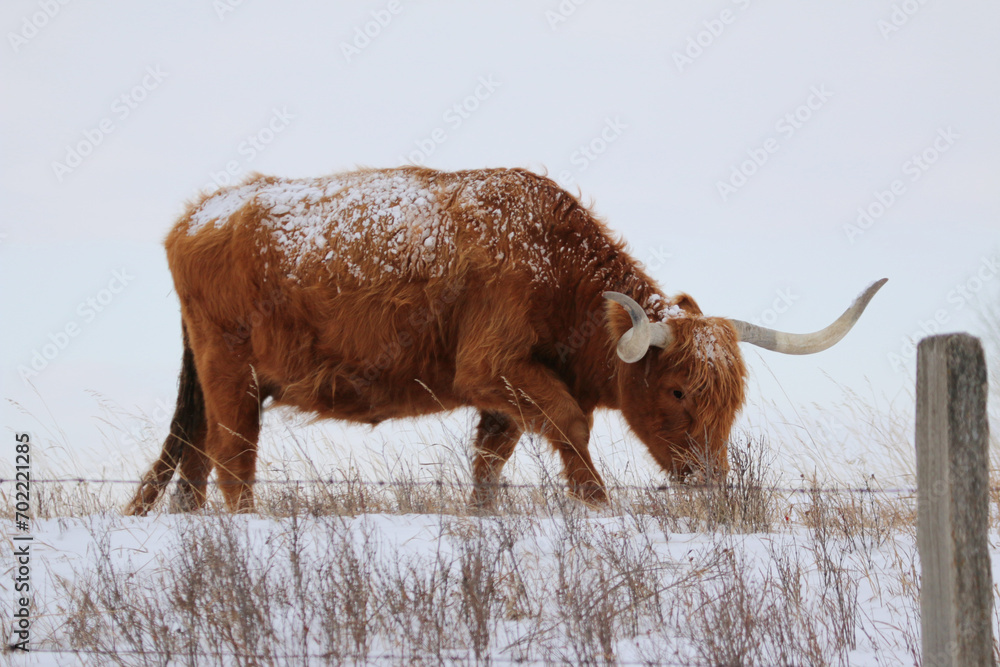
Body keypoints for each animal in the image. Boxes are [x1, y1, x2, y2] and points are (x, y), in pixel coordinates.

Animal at [125, 166, 885, 514]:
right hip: (231, 371)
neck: (556, 265)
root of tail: (203, 212)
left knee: (195, 459)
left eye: (733, 403)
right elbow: (571, 424)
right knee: (232, 459)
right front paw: (597, 504)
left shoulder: (504, 393)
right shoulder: (491, 366)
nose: (712, 483)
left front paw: (486, 515)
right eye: (675, 390)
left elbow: (491, 461)